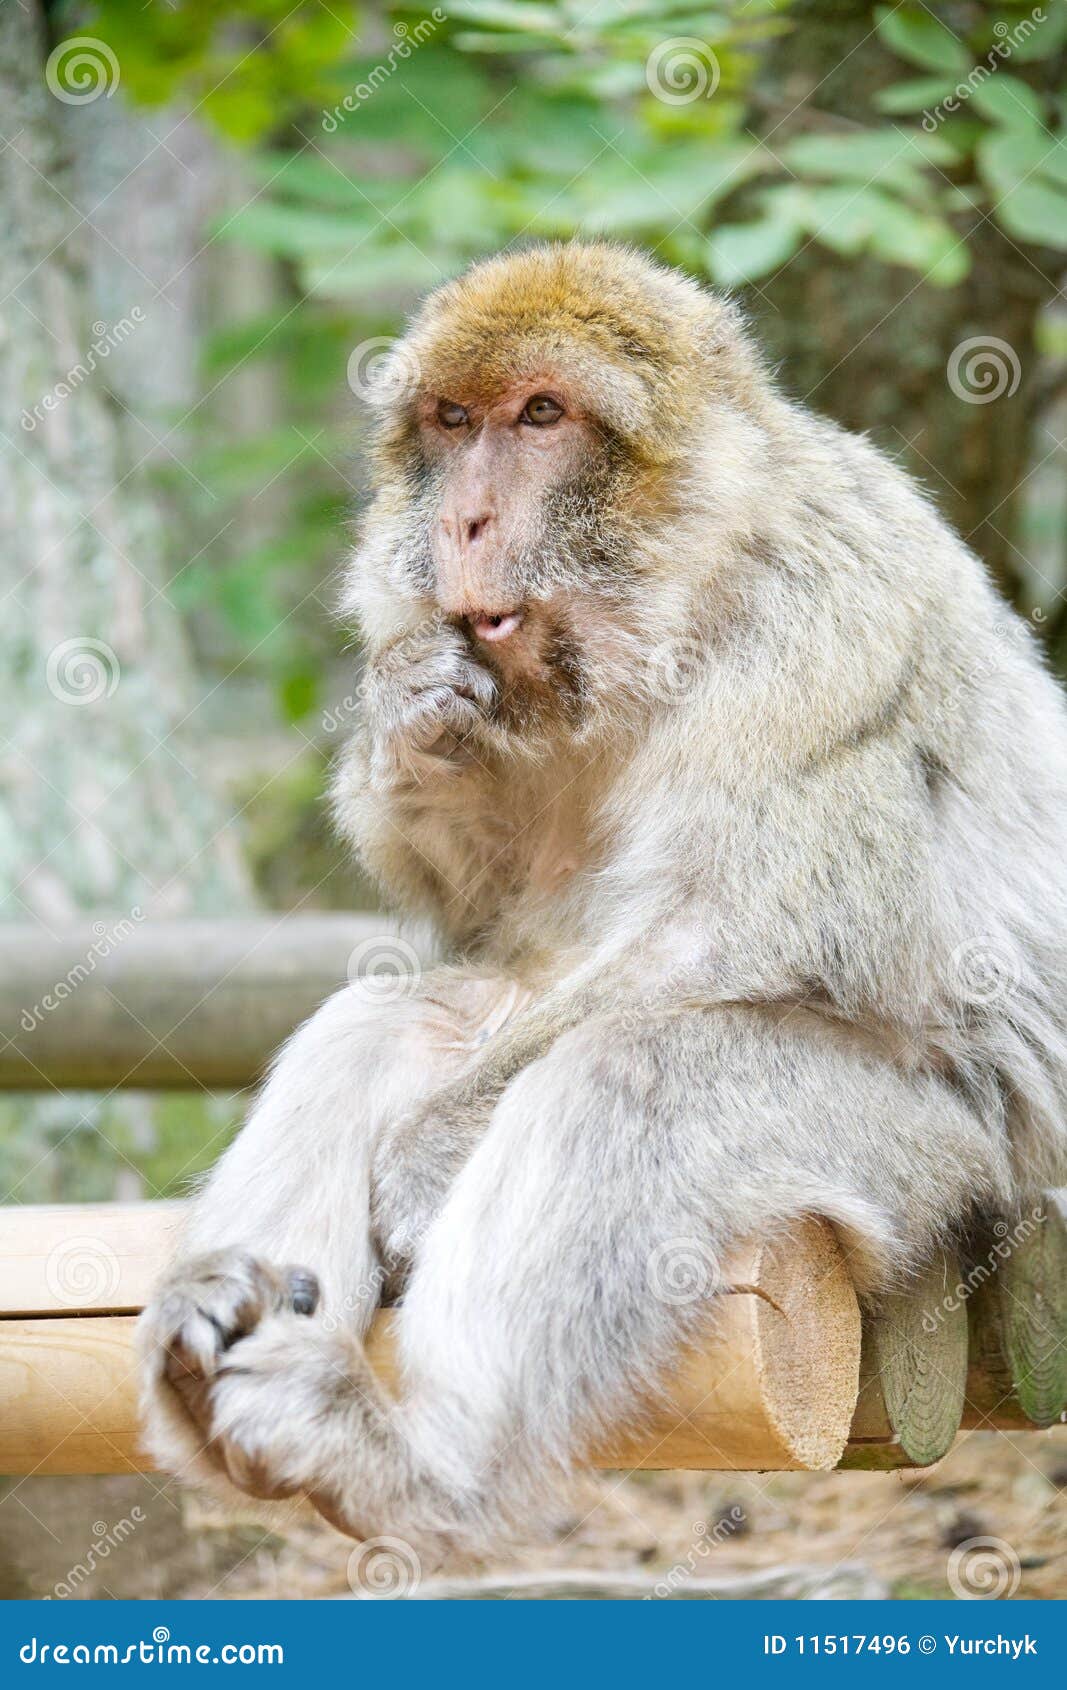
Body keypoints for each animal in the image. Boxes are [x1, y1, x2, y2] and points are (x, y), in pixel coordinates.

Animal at [138, 241, 1067, 1553]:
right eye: (454, 421)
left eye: (541, 416)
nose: (464, 519)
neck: (682, 590)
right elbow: (492, 904)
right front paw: (411, 716)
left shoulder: (819, 618)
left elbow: (751, 923)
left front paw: (421, 1163)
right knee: (392, 1021)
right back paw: (216, 1344)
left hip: (947, 1145)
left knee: (632, 1075)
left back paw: (416, 1459)